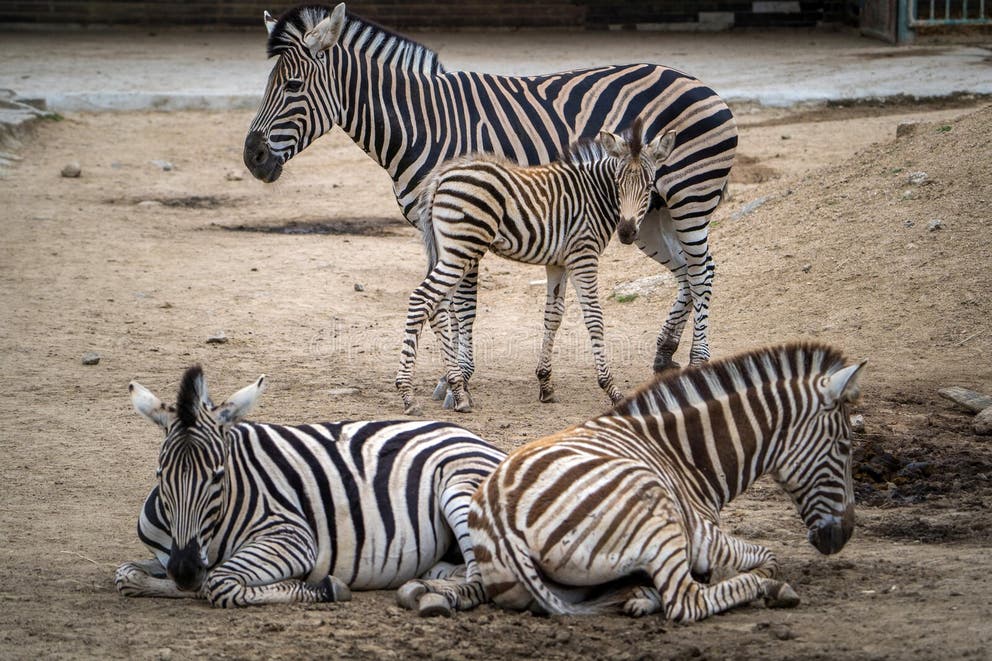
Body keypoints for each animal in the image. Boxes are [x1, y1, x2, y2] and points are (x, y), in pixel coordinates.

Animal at [114, 365, 505, 615]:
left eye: (218, 477)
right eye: (161, 475)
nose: (184, 570)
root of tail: (476, 439)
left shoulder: (291, 538)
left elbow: (219, 583)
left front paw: (323, 588)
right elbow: (126, 575)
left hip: (460, 489)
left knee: (480, 582)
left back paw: (432, 598)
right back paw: (423, 587)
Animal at [395, 121, 677, 415]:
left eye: (649, 185)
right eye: (618, 183)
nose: (626, 232)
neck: (594, 194)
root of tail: (441, 176)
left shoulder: (558, 263)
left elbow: (553, 316)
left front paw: (545, 384)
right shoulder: (583, 255)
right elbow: (594, 317)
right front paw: (611, 389)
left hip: (451, 250)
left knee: (437, 307)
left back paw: (458, 391)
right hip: (462, 249)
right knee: (421, 298)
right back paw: (408, 395)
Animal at [403, 343, 865, 620]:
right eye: (845, 447)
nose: (843, 537)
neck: (683, 456)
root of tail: (502, 518)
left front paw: (640, 595)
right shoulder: (703, 536)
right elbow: (768, 556)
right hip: (654, 509)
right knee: (686, 602)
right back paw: (765, 589)